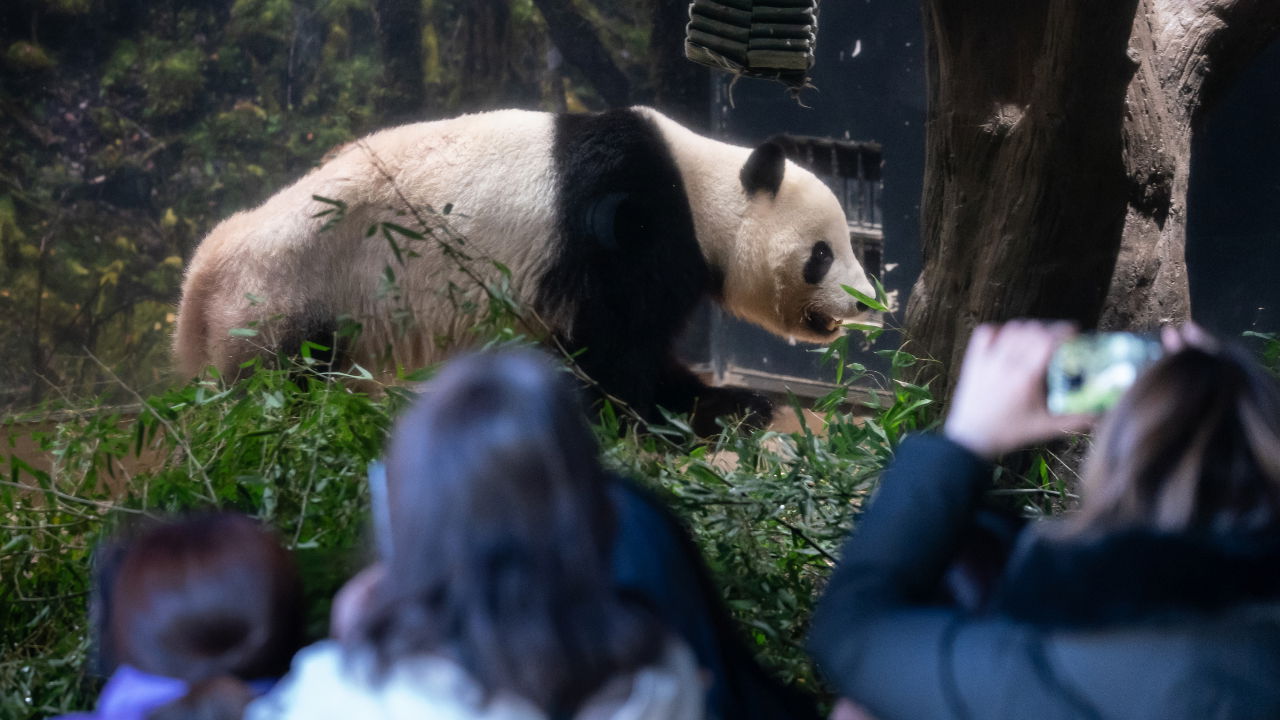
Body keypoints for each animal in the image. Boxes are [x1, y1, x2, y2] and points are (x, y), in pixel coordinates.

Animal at [174, 107, 876, 433]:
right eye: (822, 254)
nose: (867, 304)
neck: (704, 190)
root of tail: (198, 280)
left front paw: (733, 402)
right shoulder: (628, 229)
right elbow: (616, 349)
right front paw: (676, 418)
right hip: (290, 296)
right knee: (279, 390)